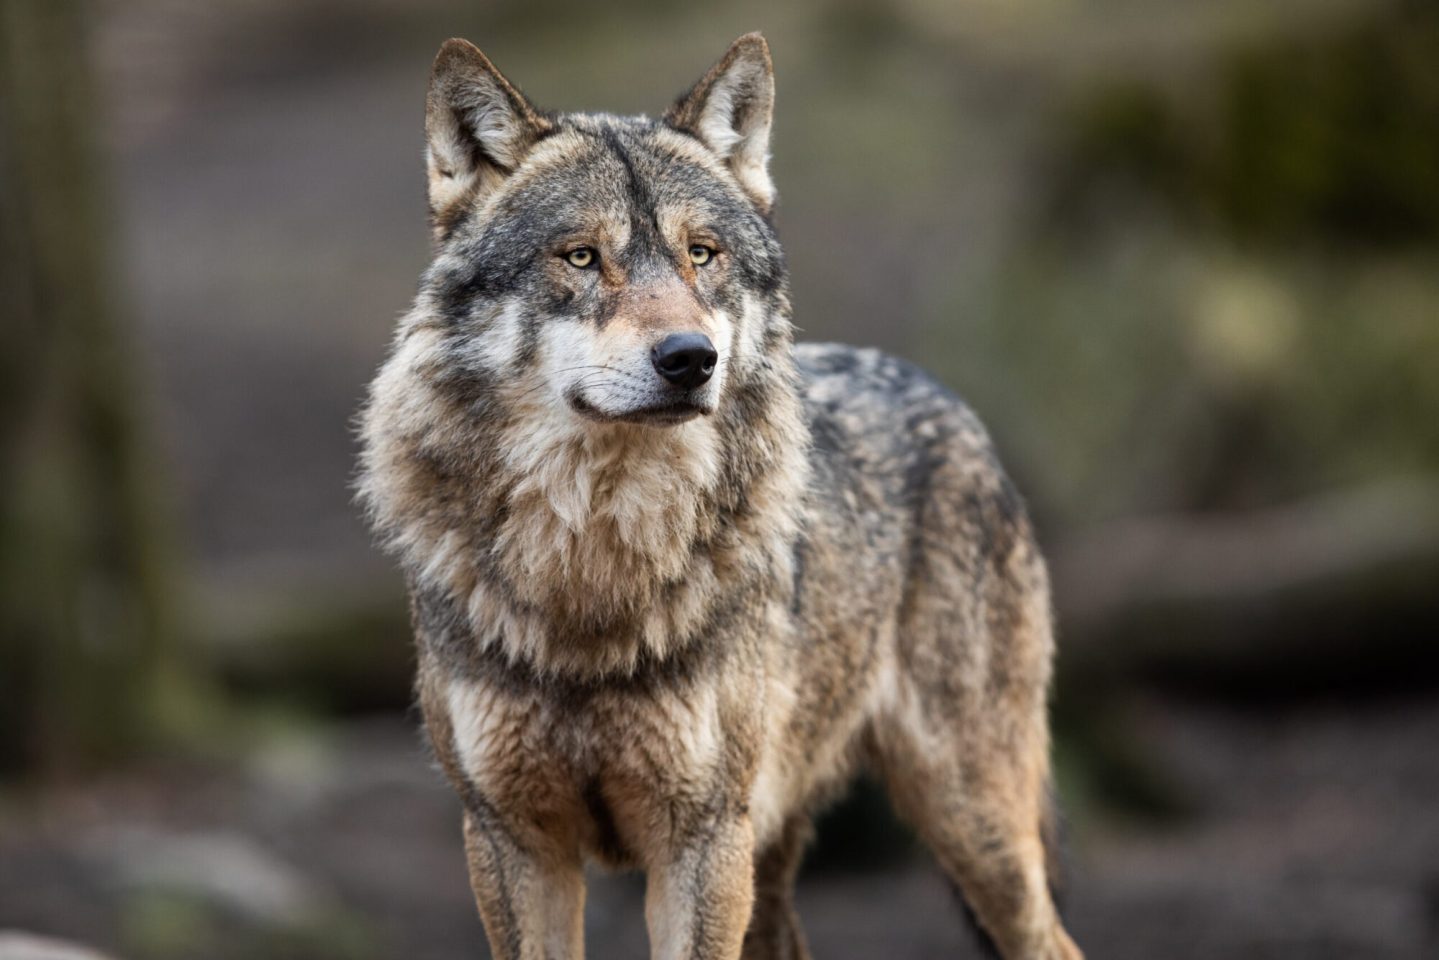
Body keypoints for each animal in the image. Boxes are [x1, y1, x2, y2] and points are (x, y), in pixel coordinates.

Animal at [357, 32, 1082, 960]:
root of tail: (944, 396)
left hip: (968, 824)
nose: (689, 358)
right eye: (581, 256)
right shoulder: (509, 839)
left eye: (701, 254)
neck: (593, 570)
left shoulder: (699, 840)